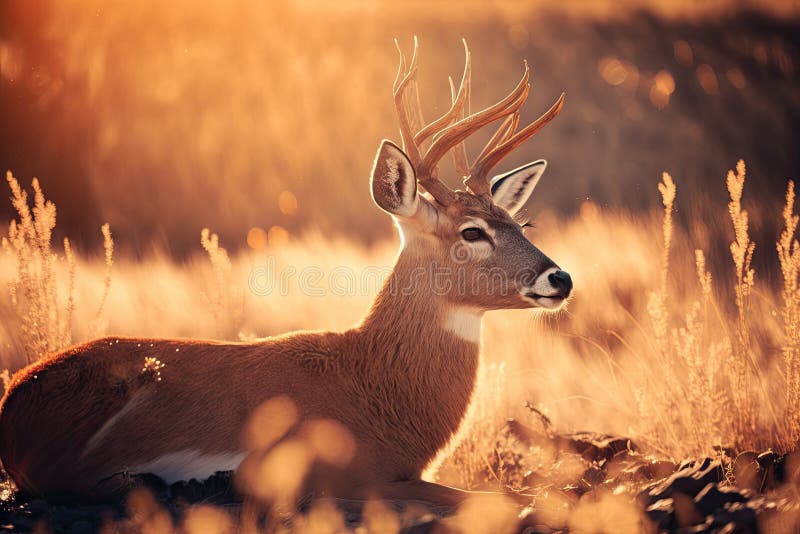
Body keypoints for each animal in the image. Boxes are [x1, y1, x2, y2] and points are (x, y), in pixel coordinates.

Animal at [0, 39, 571, 510]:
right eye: (472, 232)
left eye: (520, 222)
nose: (559, 279)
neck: (373, 390)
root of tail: (13, 400)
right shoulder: (357, 477)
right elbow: (497, 499)